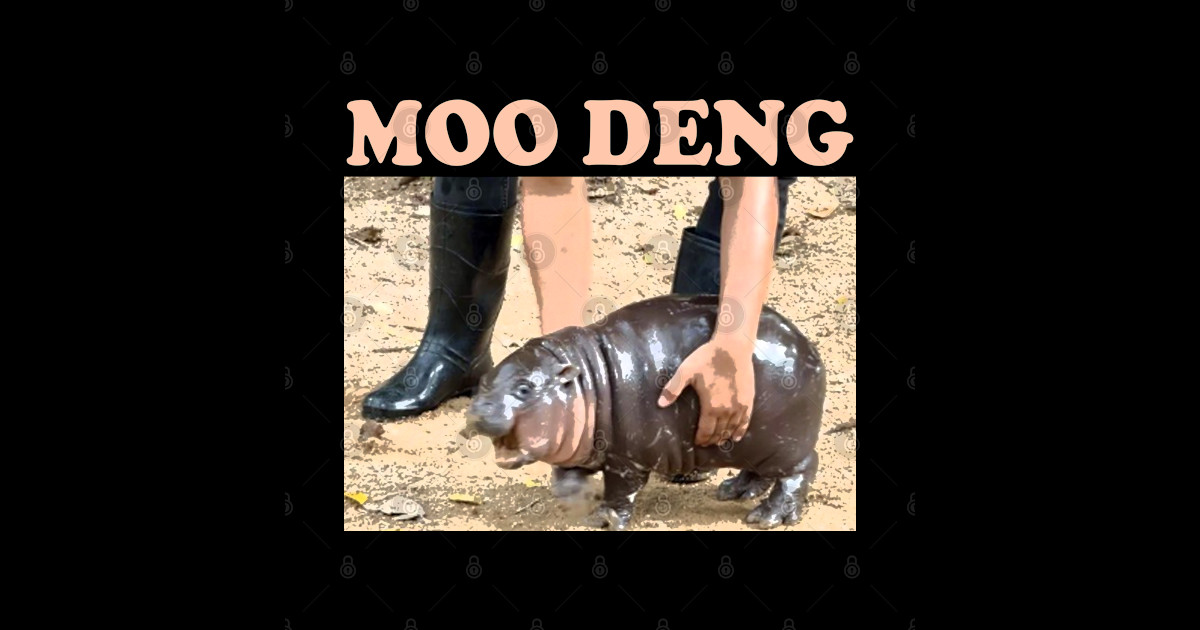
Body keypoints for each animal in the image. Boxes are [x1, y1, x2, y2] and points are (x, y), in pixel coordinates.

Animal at [465, 295, 825, 530]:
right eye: (483, 381)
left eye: (524, 388)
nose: (478, 411)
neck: (587, 380)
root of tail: (808, 347)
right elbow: (565, 477)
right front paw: (576, 499)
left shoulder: (626, 460)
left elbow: (620, 492)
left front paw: (604, 519)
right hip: (754, 443)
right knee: (759, 472)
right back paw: (733, 491)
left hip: (786, 444)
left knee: (800, 470)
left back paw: (767, 517)